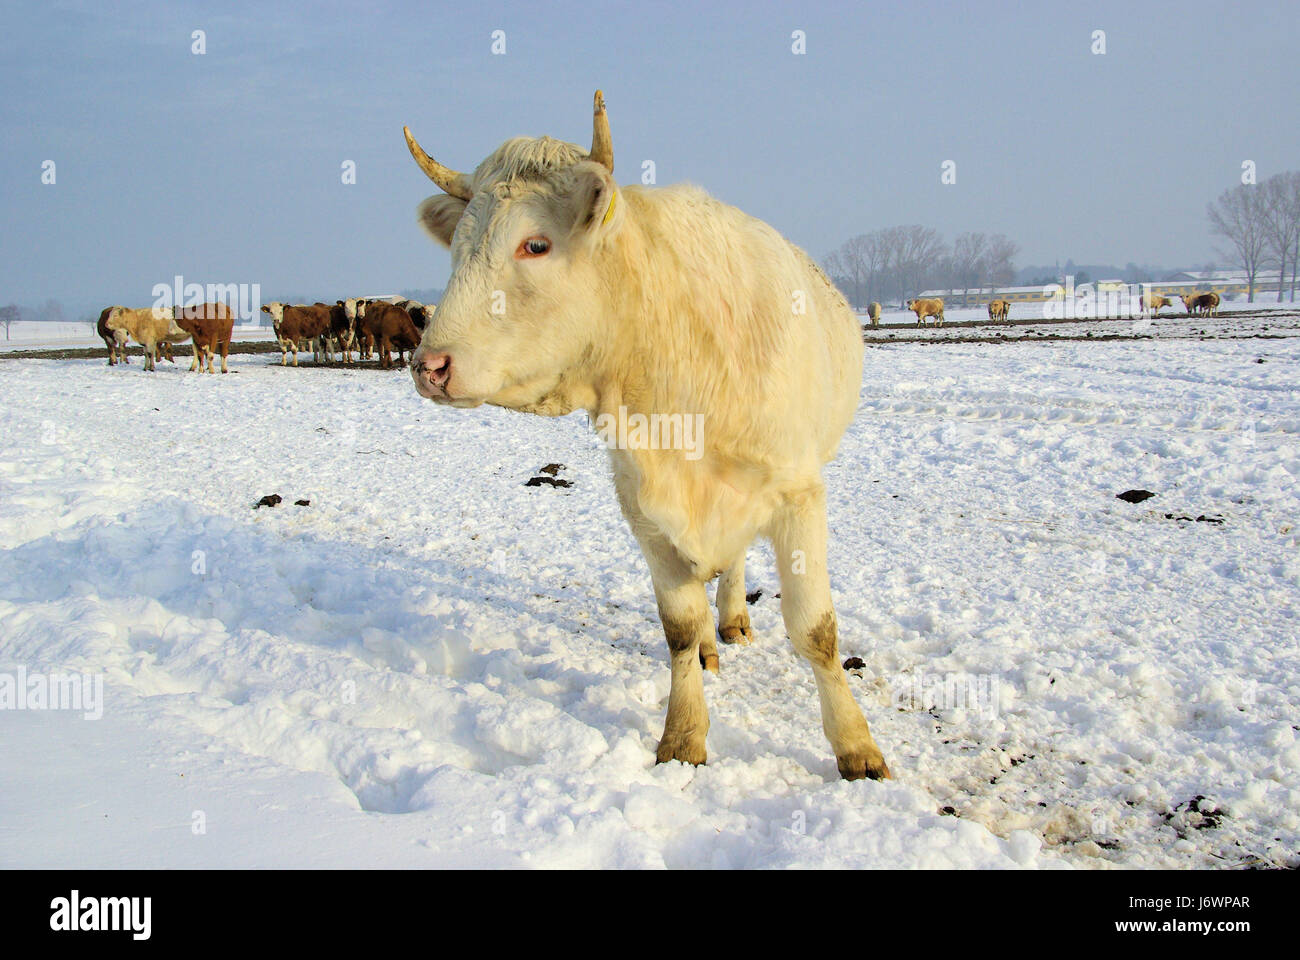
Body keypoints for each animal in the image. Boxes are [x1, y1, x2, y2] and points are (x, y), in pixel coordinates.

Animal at [405, 91, 889, 780]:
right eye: (457, 250)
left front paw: (856, 747)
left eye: (535, 244)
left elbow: (815, 630)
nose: (429, 366)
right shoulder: (645, 510)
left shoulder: (798, 495)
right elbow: (679, 629)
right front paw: (684, 736)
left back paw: (735, 620)